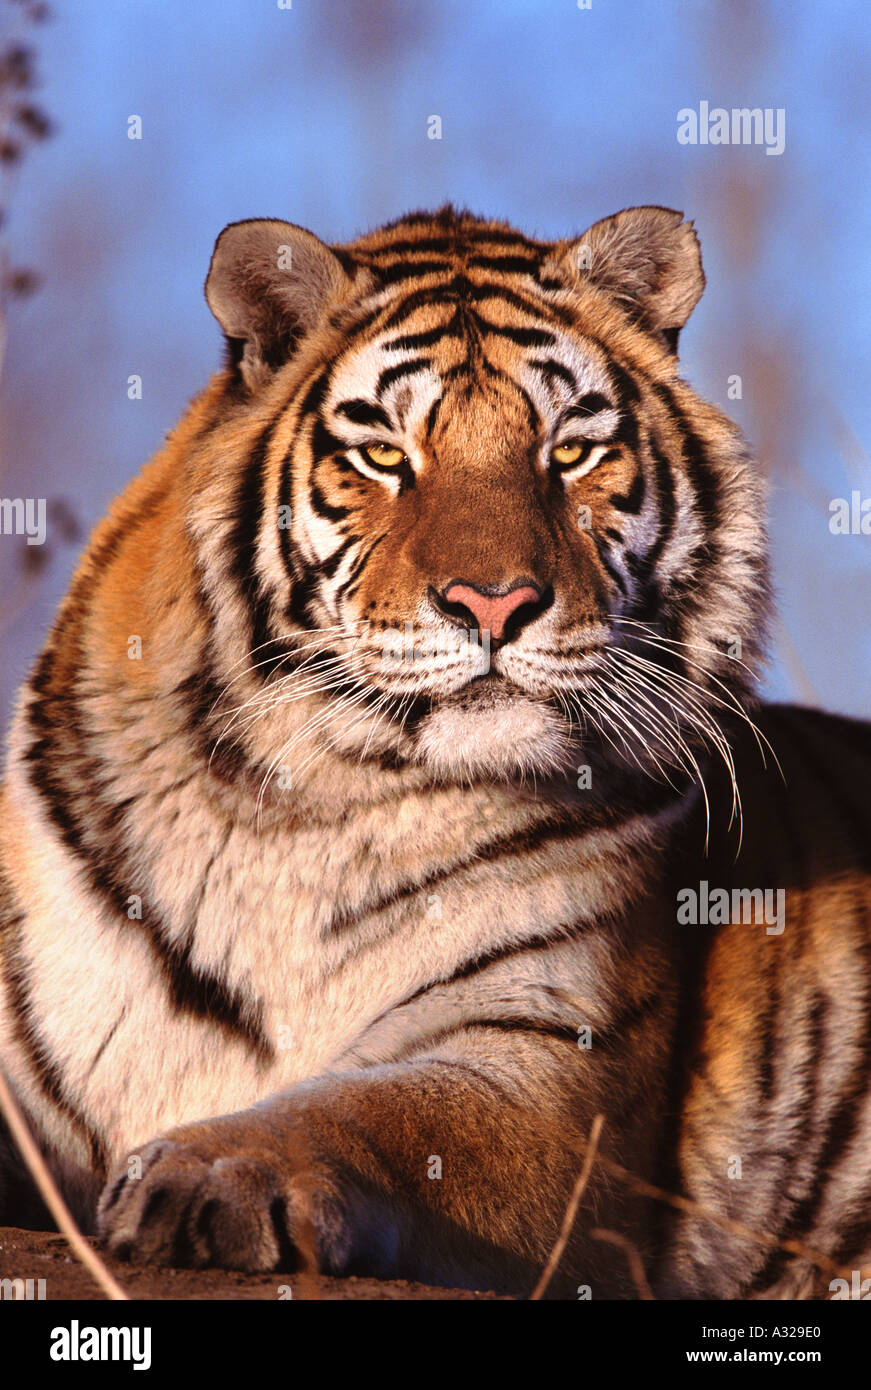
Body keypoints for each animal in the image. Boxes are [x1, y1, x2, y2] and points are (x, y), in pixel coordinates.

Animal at [1, 202, 870, 1300]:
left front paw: (204, 1175)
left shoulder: (539, 1066)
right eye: (382, 454)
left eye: (569, 451)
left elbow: (359, 1108)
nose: (493, 603)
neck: (298, 813)